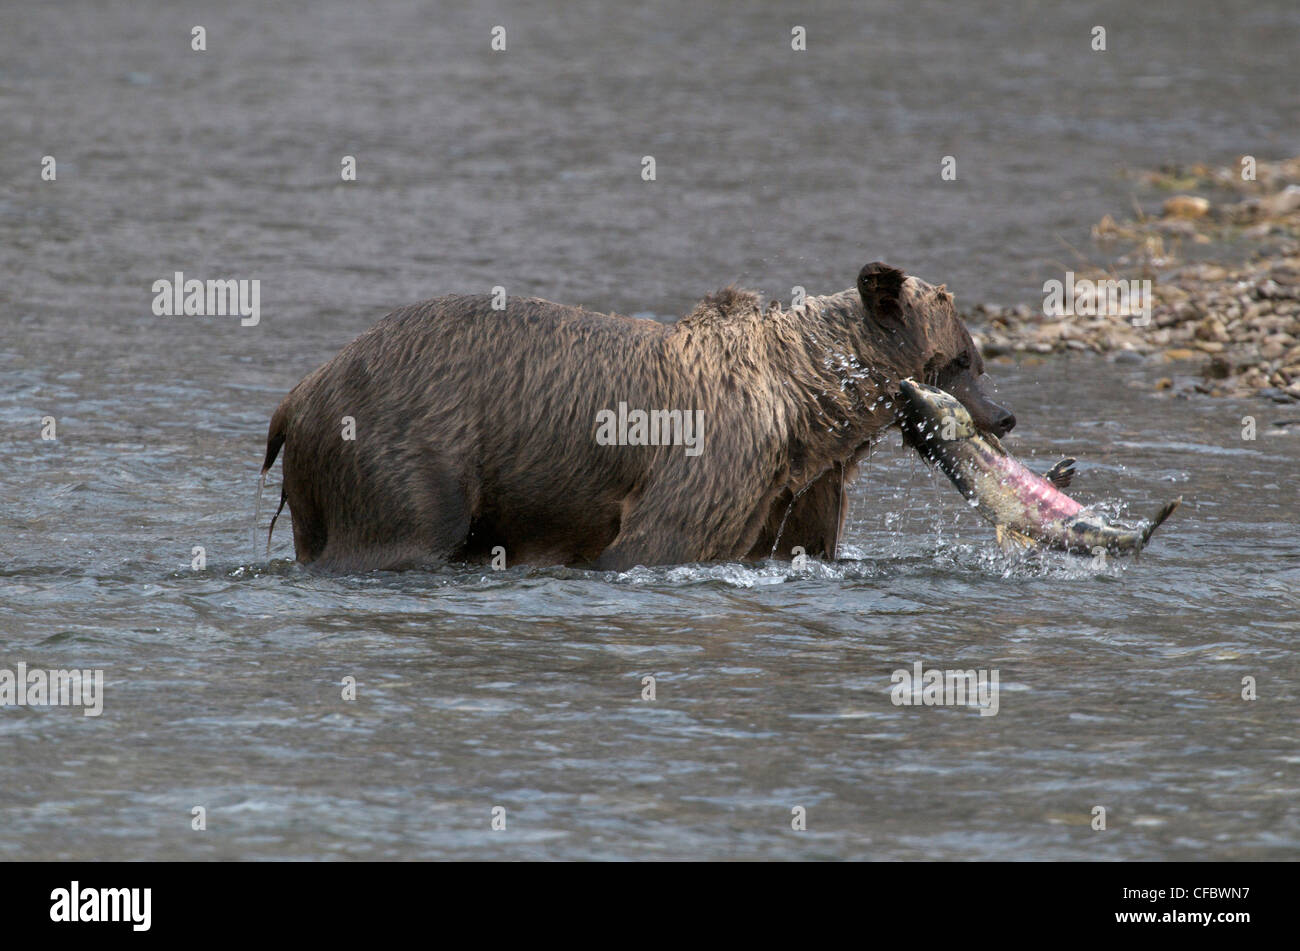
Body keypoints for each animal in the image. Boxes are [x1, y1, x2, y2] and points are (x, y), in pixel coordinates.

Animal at [260, 262, 1014, 571]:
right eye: (962, 359)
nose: (1003, 415)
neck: (809, 407)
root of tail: (299, 392)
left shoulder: (796, 491)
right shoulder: (717, 455)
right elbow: (656, 542)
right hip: (407, 440)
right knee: (404, 531)